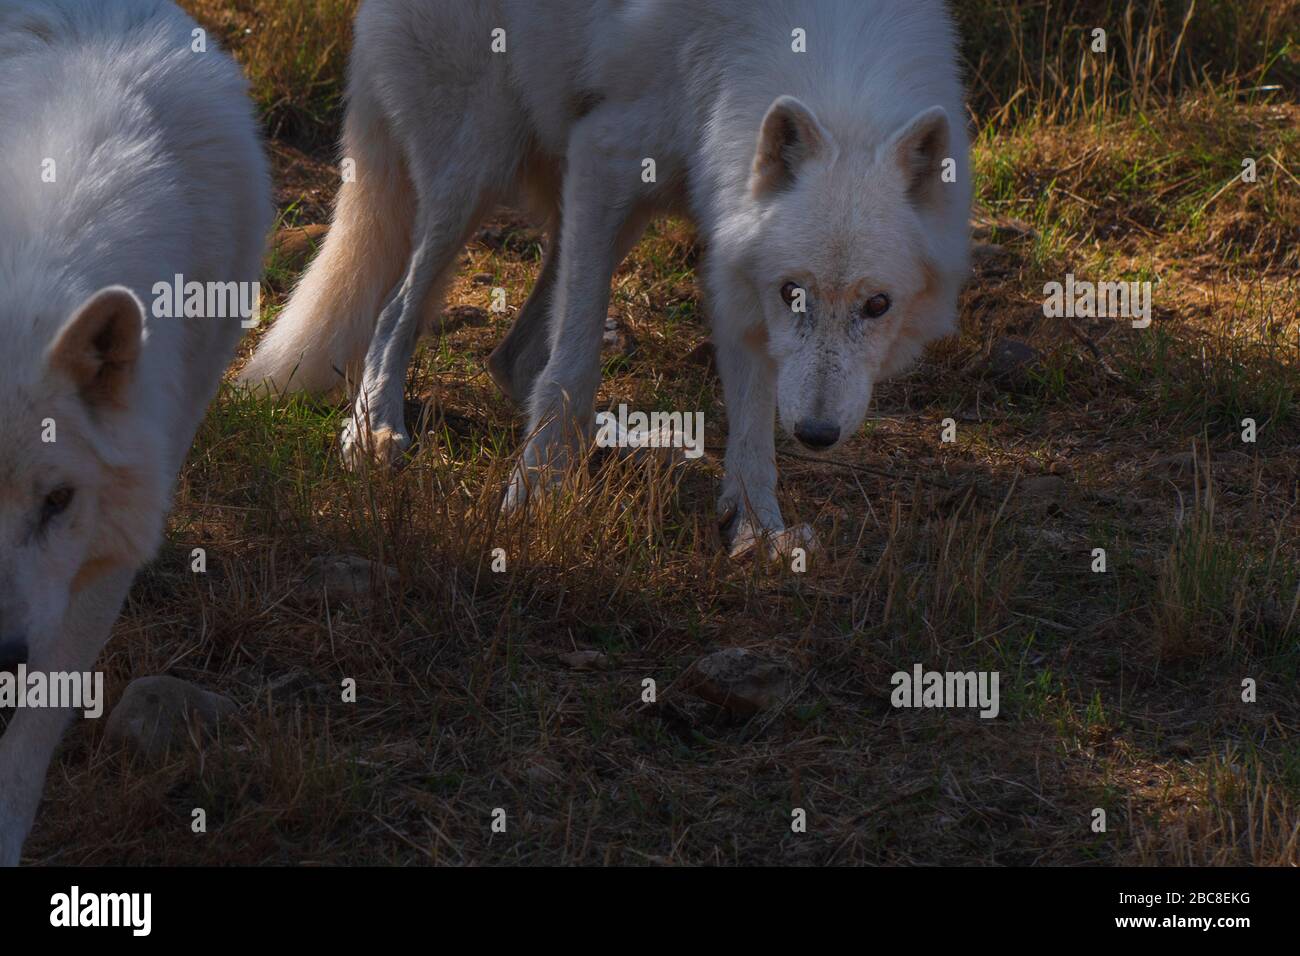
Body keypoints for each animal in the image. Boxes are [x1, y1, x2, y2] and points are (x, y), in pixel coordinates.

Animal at [240, 0, 971, 551]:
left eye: (877, 306)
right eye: (795, 293)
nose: (818, 435)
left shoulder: (726, 233)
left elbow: (753, 407)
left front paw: (758, 529)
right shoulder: (608, 157)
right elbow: (573, 367)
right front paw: (534, 496)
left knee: (512, 356)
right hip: (478, 170)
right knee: (399, 311)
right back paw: (375, 433)